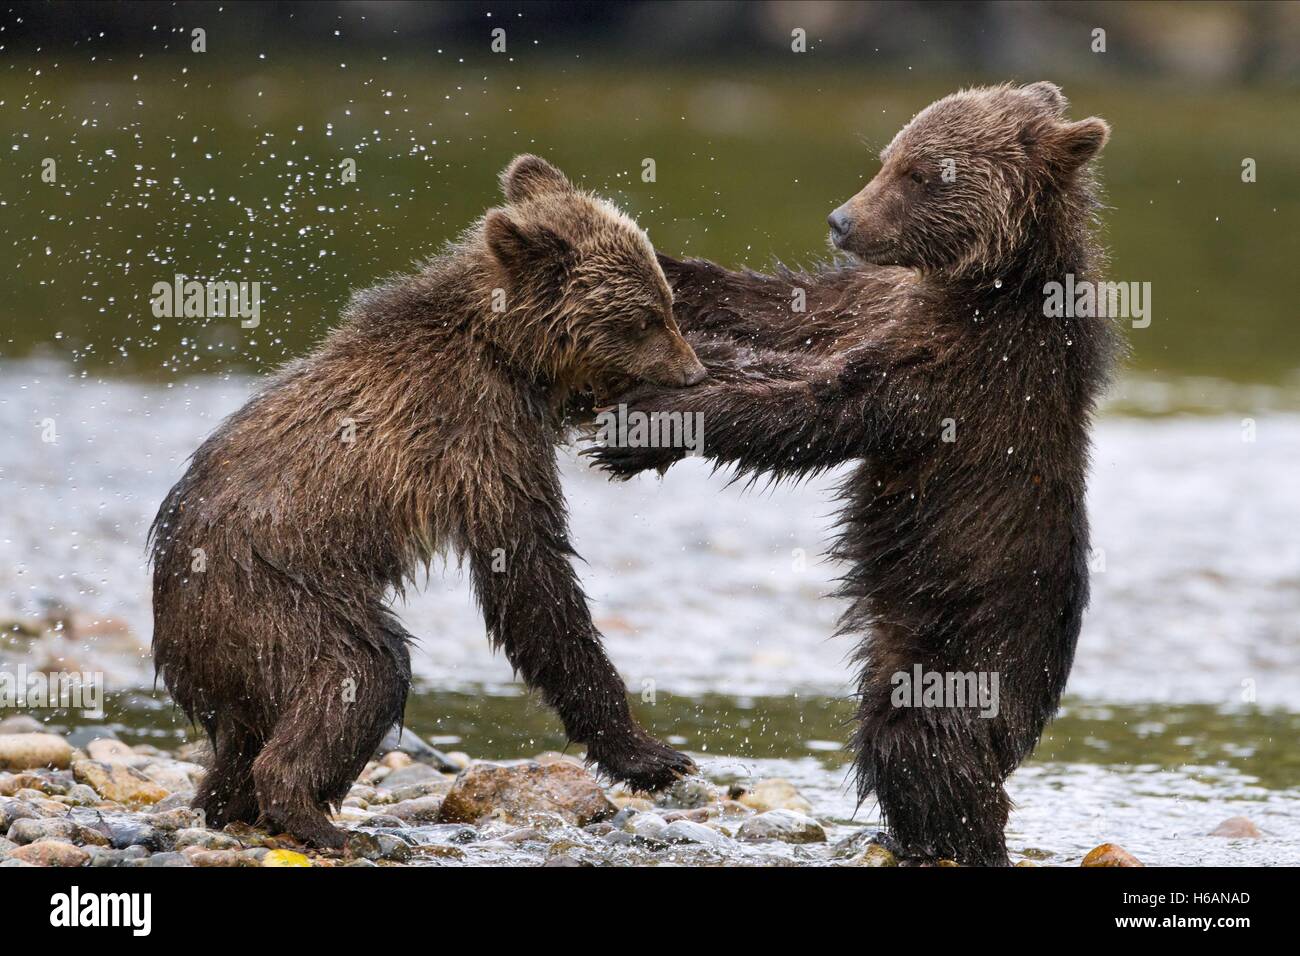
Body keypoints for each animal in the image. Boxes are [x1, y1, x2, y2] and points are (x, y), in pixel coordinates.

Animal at [150, 155, 705, 848]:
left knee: (245, 734)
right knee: (361, 670)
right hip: (275, 599)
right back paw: (316, 816)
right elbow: (531, 575)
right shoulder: (479, 436)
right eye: (643, 318)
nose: (694, 373)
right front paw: (651, 754)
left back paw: (229, 802)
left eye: (668, 303)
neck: (507, 352)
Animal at [592, 83, 1121, 865]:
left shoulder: (962, 372)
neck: (985, 282)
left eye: (923, 174)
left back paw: (942, 834)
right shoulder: (882, 301)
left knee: (920, 743)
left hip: (964, 648)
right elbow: (787, 310)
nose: (842, 221)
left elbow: (821, 409)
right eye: (888, 156)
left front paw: (648, 424)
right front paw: (659, 269)